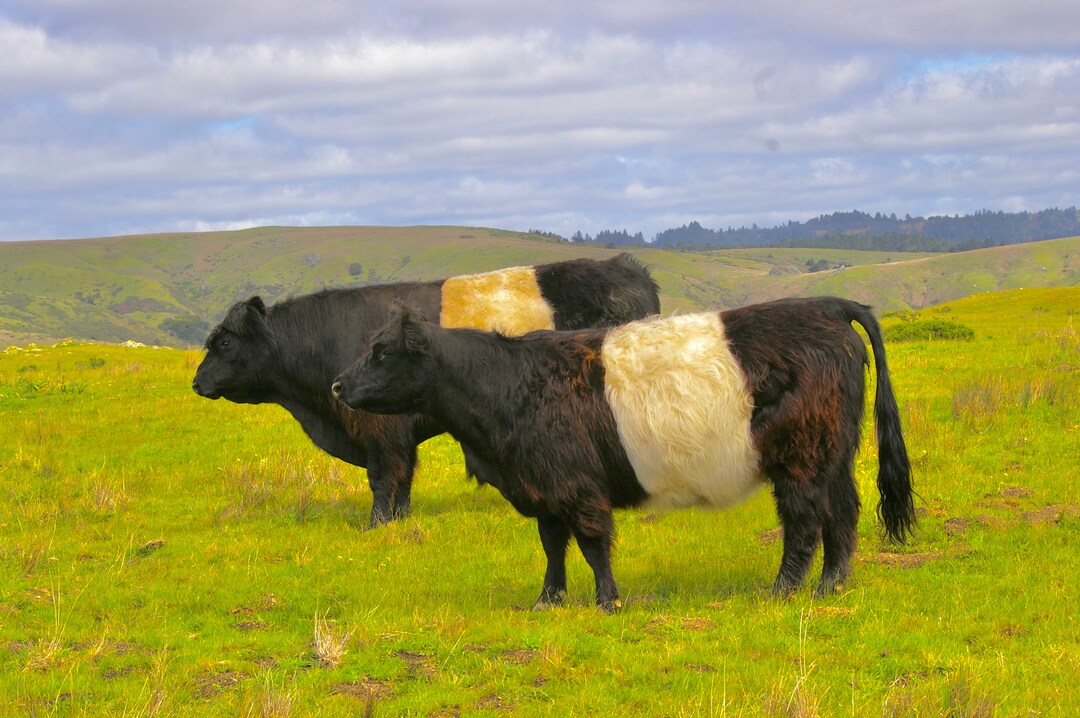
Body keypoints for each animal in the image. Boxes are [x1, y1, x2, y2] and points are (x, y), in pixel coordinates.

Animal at [191, 254, 660, 527]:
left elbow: (384, 477)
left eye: (225, 343)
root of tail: (628, 267)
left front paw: (378, 523)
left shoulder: (382, 429)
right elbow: (402, 479)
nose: (196, 382)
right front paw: (399, 519)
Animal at [330, 297, 916, 611]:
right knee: (843, 514)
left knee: (805, 522)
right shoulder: (544, 489)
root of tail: (826, 306)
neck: (510, 385)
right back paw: (831, 585)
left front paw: (607, 600)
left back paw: (783, 591)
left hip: (800, 459)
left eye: (381, 352)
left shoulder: (577, 487)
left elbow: (593, 544)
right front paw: (548, 600)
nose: (337, 384)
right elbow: (553, 547)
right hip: (832, 455)